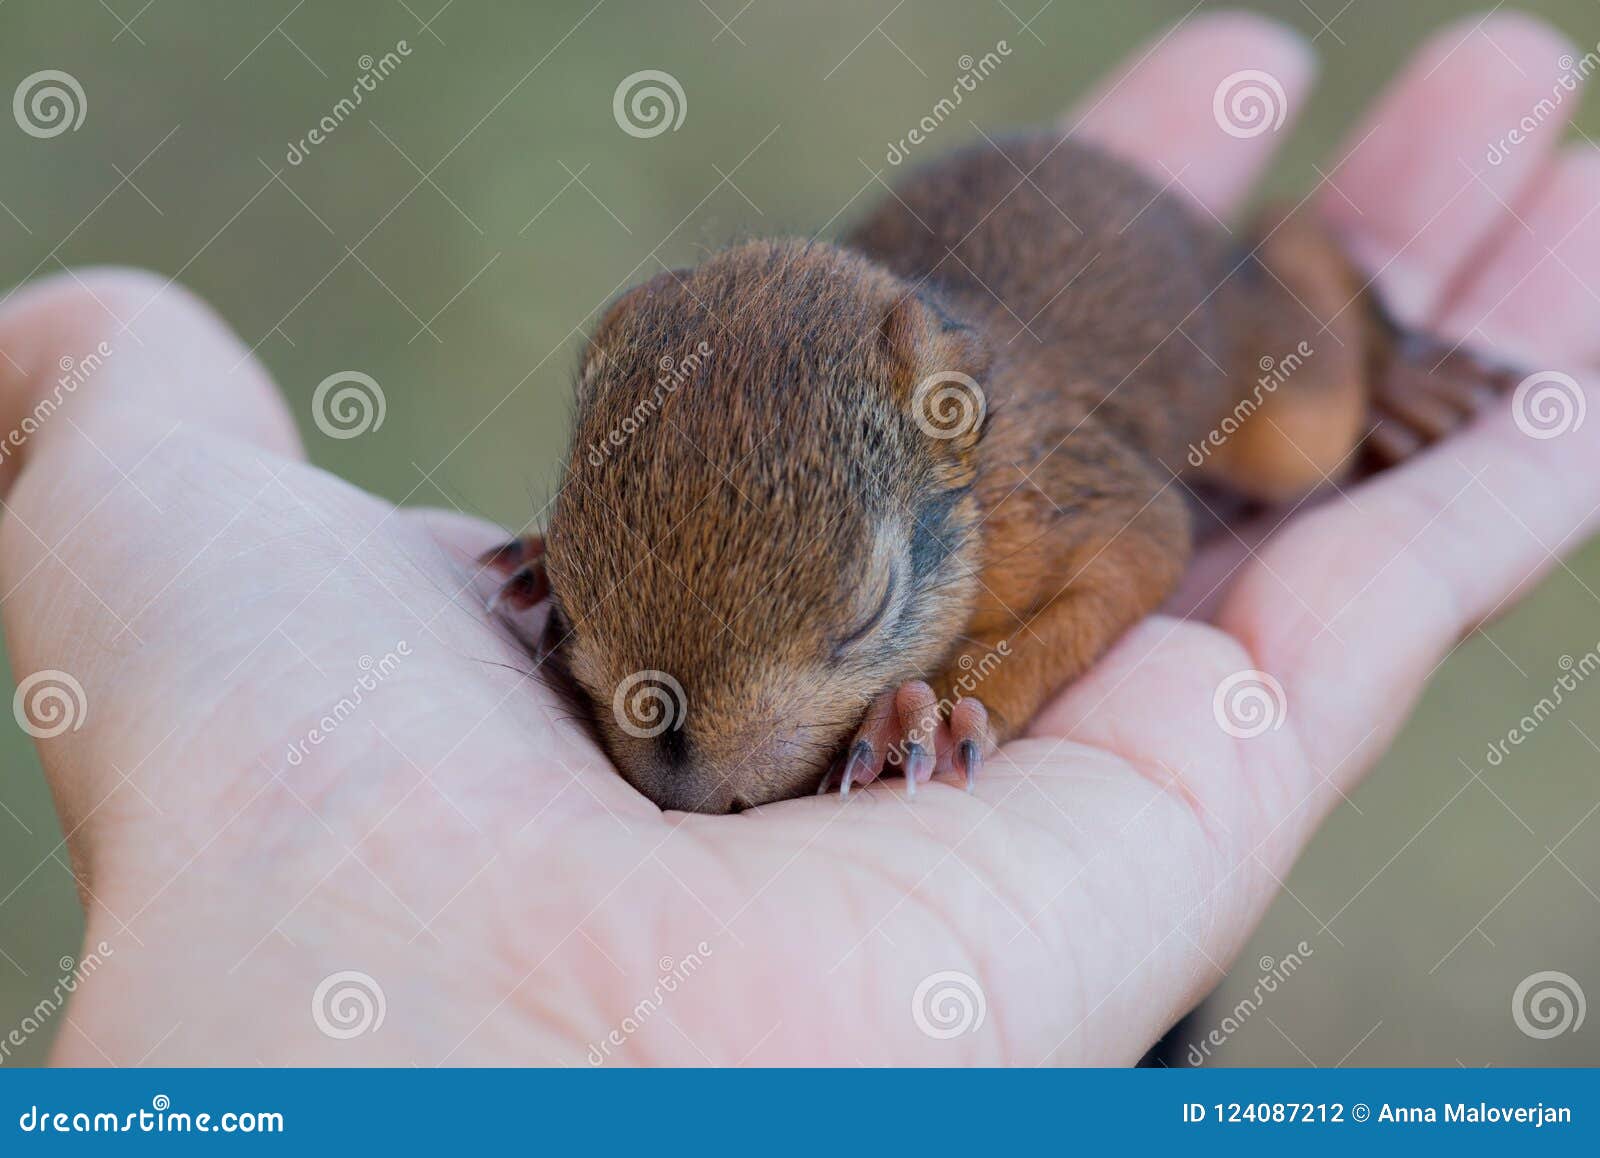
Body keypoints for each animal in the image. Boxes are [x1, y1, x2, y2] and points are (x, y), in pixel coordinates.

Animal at [481, 132, 1514, 814]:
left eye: (870, 611)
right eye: (573, 593)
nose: (692, 795)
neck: (979, 472)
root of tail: (1203, 235)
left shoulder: (1071, 492)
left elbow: (1136, 560)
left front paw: (931, 711)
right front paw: (527, 557)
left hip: (1284, 405)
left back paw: (1404, 371)